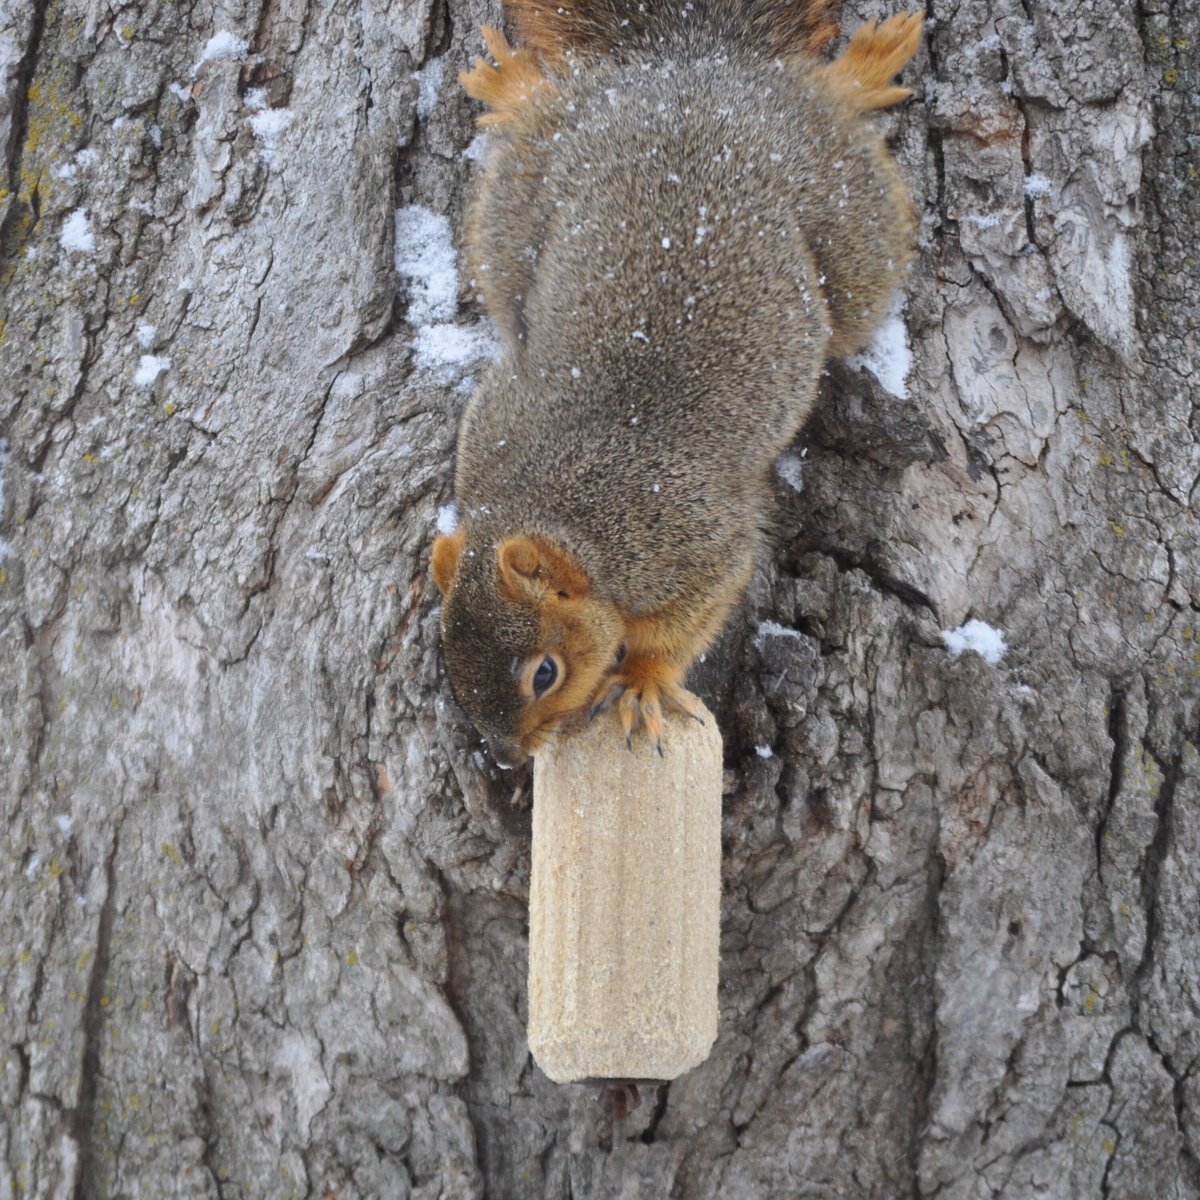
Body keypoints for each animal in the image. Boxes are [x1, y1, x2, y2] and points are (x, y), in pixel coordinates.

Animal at [430, 0, 922, 766]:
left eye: (545, 672)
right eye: (452, 662)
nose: (508, 757)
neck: (556, 500)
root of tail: (689, 69)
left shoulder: (693, 542)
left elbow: (686, 621)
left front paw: (643, 681)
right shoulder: (490, 425)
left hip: (846, 215)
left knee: (840, 137)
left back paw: (861, 72)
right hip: (521, 198)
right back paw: (512, 84)